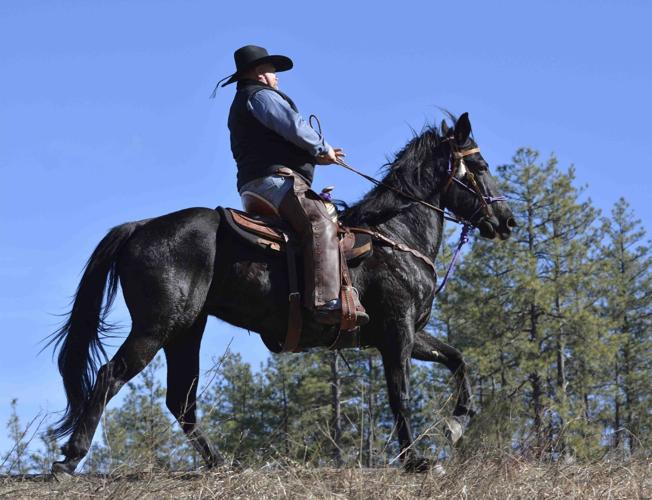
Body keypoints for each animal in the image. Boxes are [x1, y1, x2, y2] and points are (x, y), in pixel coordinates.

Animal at [48, 112, 515, 475]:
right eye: (481, 164)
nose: (507, 221)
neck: (394, 236)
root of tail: (140, 227)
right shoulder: (396, 332)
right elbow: (399, 393)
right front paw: (416, 459)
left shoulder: (407, 335)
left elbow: (458, 360)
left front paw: (456, 423)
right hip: (155, 328)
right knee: (109, 376)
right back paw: (70, 459)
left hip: (185, 330)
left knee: (180, 400)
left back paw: (219, 463)